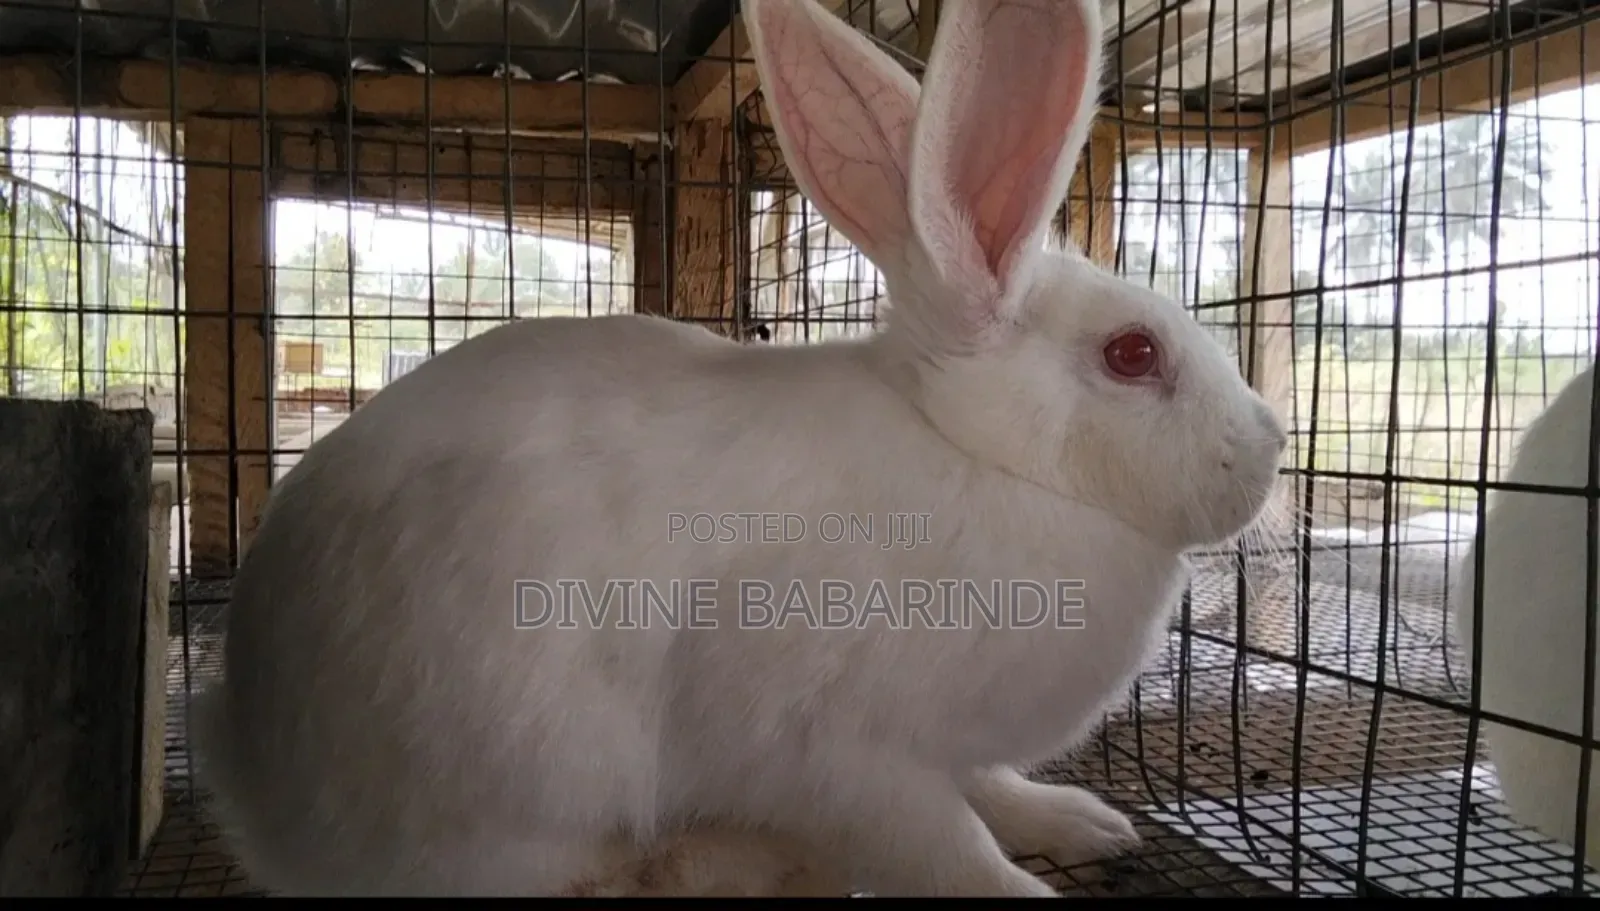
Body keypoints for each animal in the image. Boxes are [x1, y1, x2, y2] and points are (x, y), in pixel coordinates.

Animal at [187, 0, 1289, 897]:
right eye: (1133, 353)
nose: (1273, 443)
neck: (986, 457)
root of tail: (247, 772)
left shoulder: (948, 747)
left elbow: (993, 792)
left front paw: (1087, 822)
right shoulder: (839, 753)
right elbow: (947, 848)